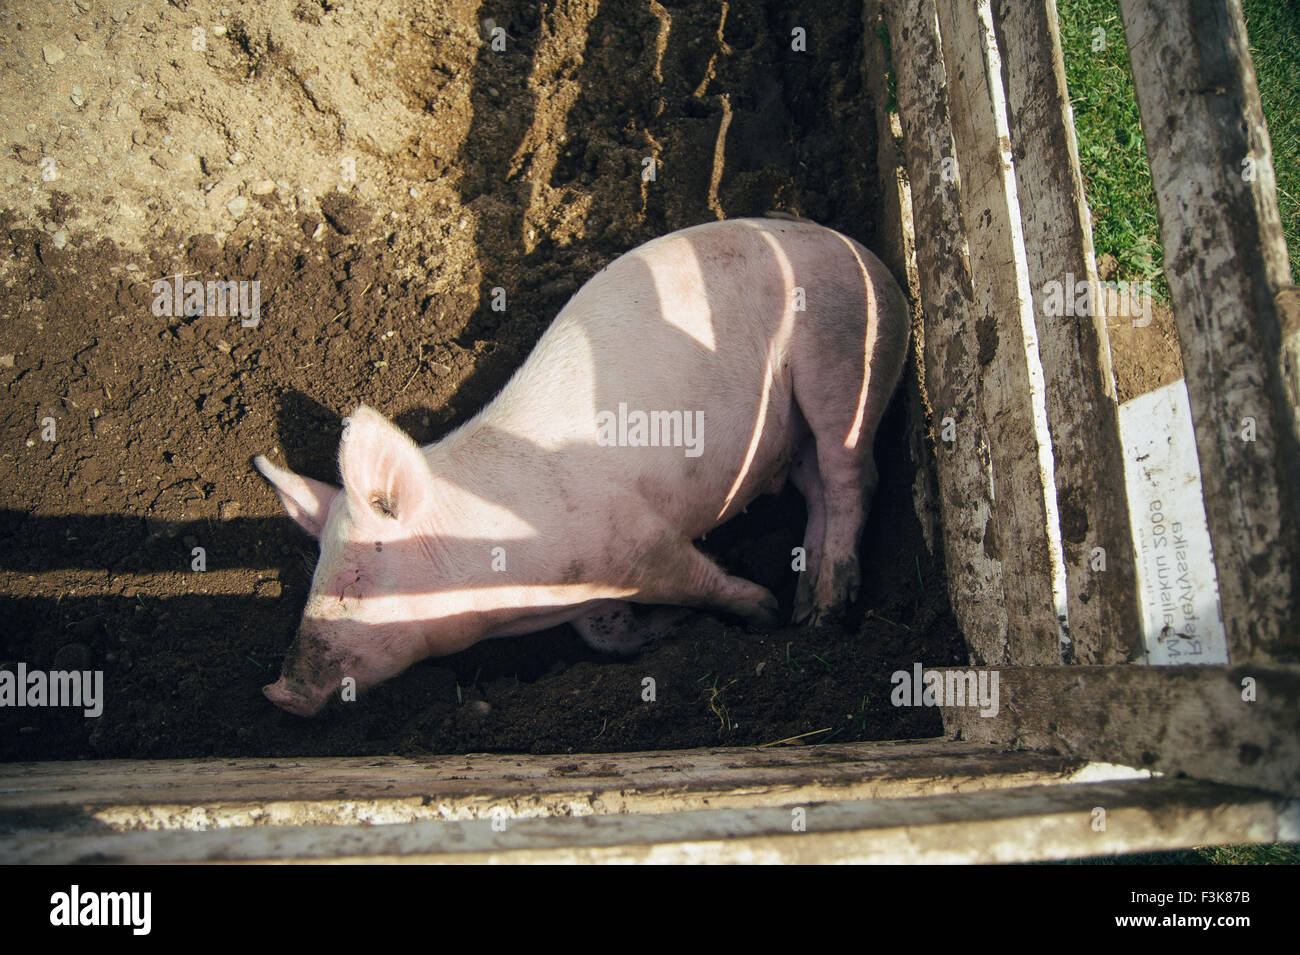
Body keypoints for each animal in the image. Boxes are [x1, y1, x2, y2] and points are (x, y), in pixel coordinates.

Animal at [254, 217, 910, 715]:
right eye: (315, 578)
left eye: (353, 581)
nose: (278, 691)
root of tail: (874, 261)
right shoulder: (592, 595)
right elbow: (606, 636)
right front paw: (671, 625)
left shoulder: (641, 539)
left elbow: (704, 580)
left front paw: (762, 611)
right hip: (795, 427)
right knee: (819, 487)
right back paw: (807, 600)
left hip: (842, 357)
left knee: (853, 475)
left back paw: (823, 610)